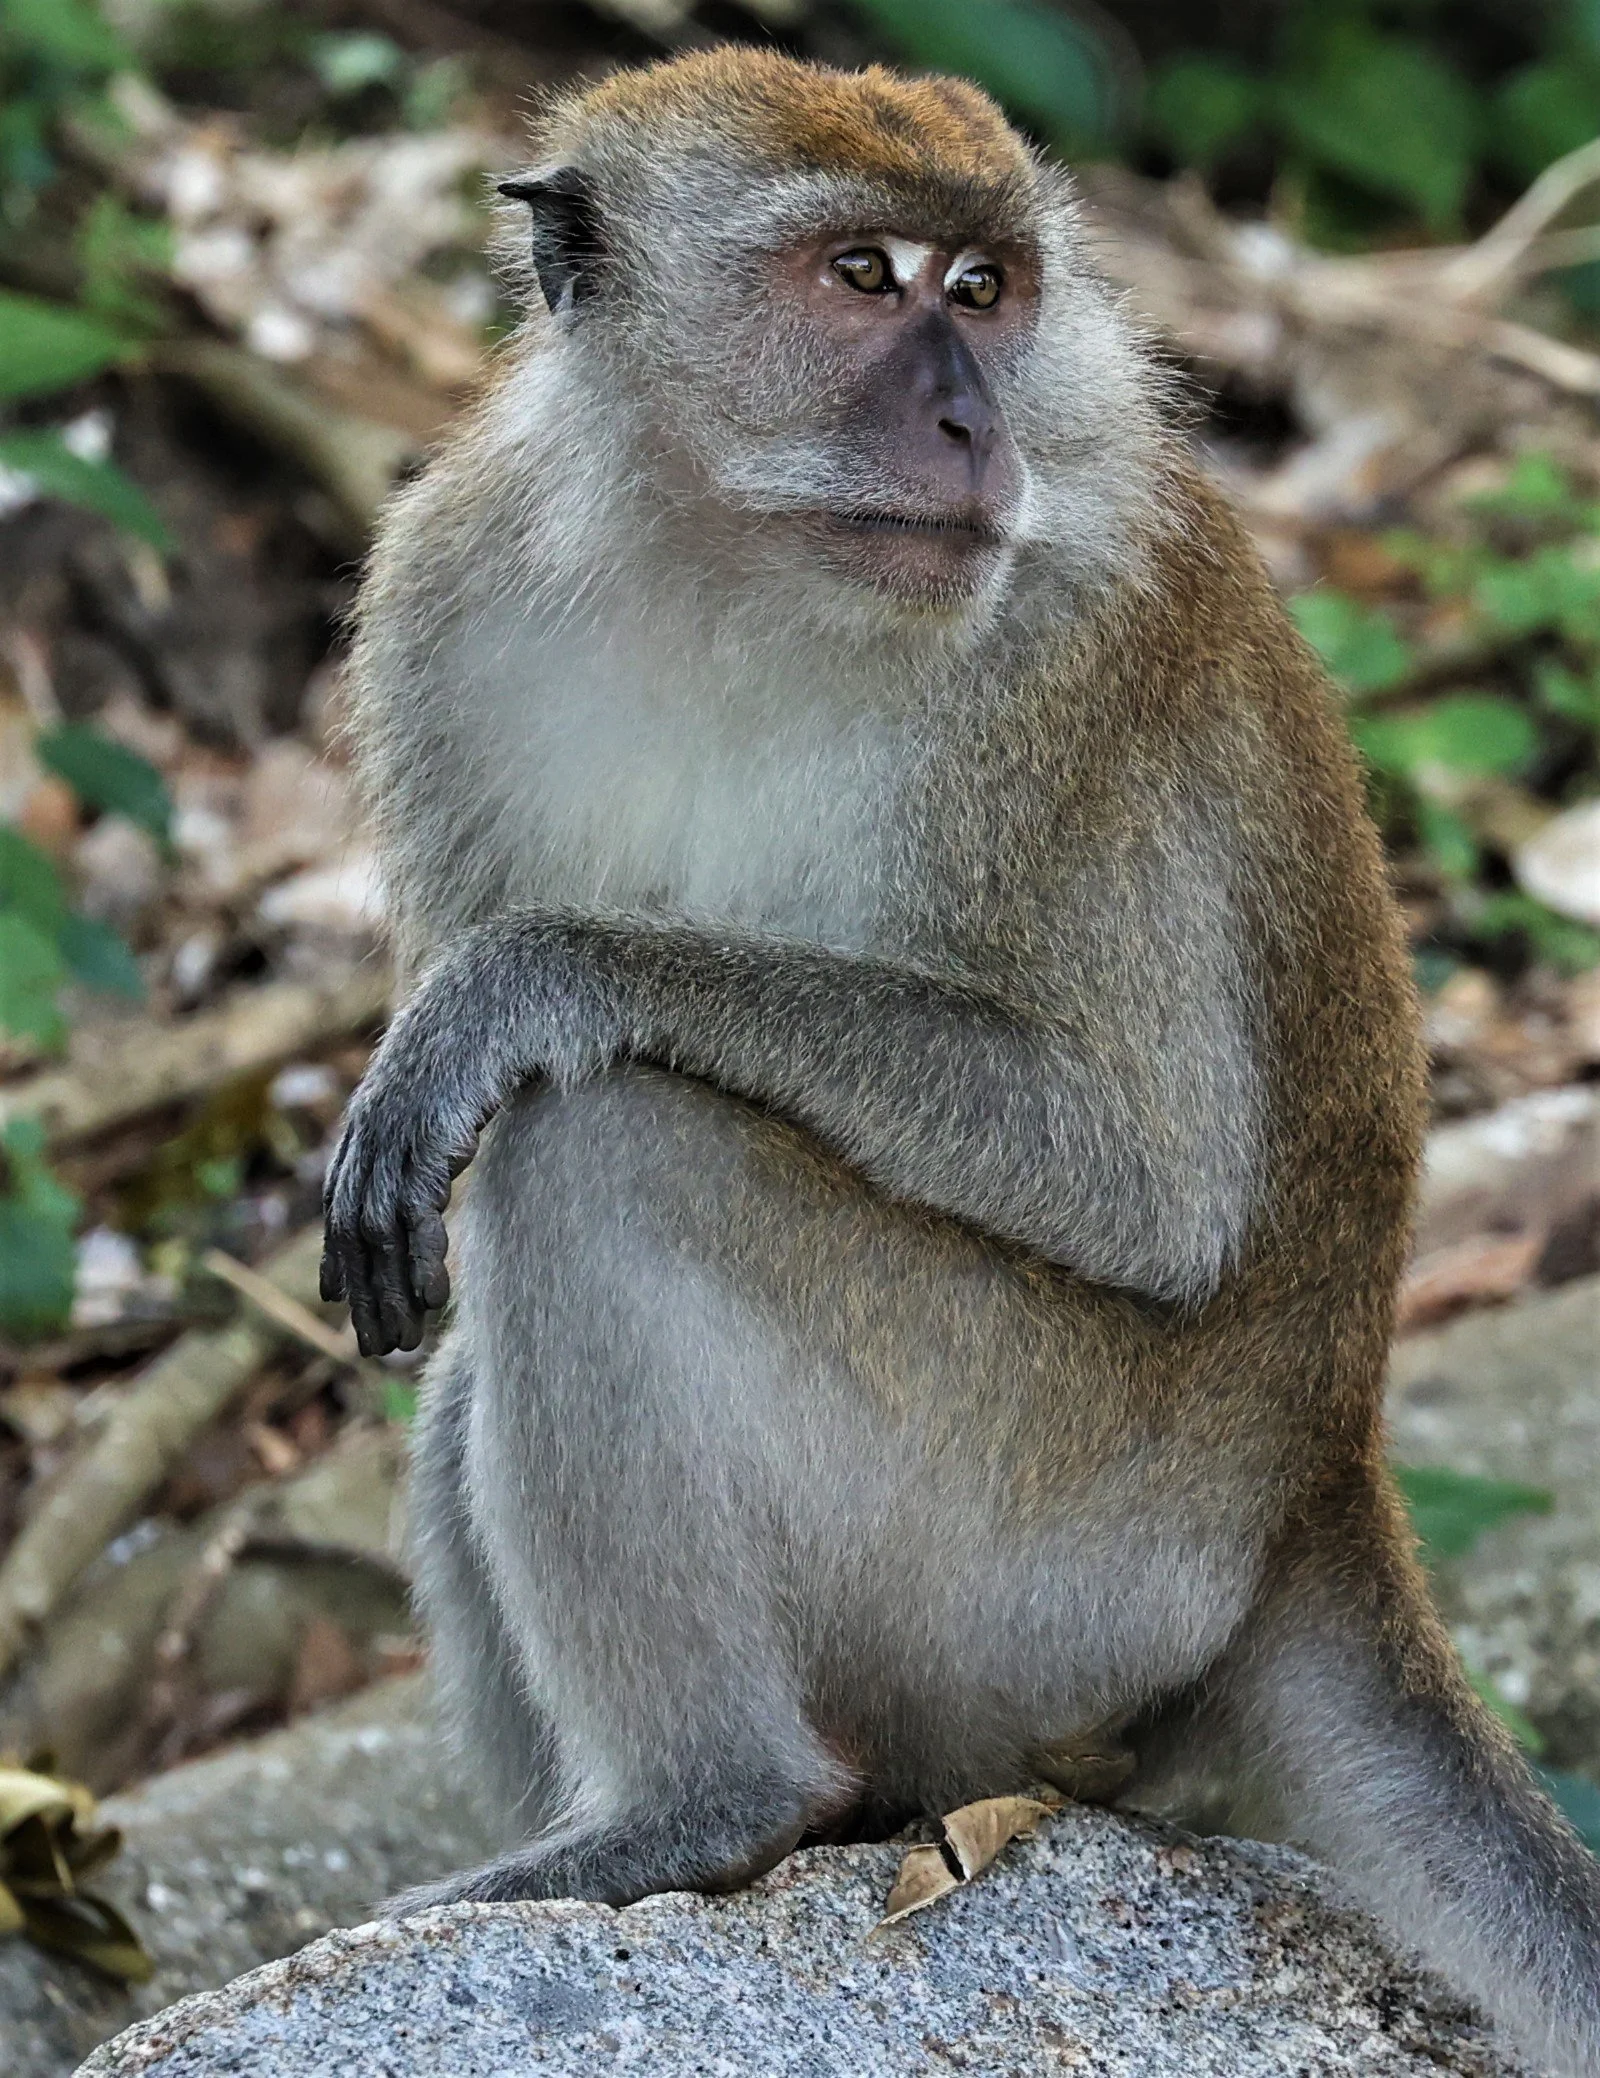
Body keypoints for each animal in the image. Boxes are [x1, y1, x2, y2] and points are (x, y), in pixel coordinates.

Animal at [319, 48, 1600, 2076]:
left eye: (983, 291)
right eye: (863, 274)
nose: (966, 419)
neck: (731, 574)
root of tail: (1314, 1494)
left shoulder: (1071, 668)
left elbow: (1134, 1169)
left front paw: (521, 985)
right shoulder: (444, 600)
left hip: (1034, 1554)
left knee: (600, 1155)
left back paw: (707, 1807)